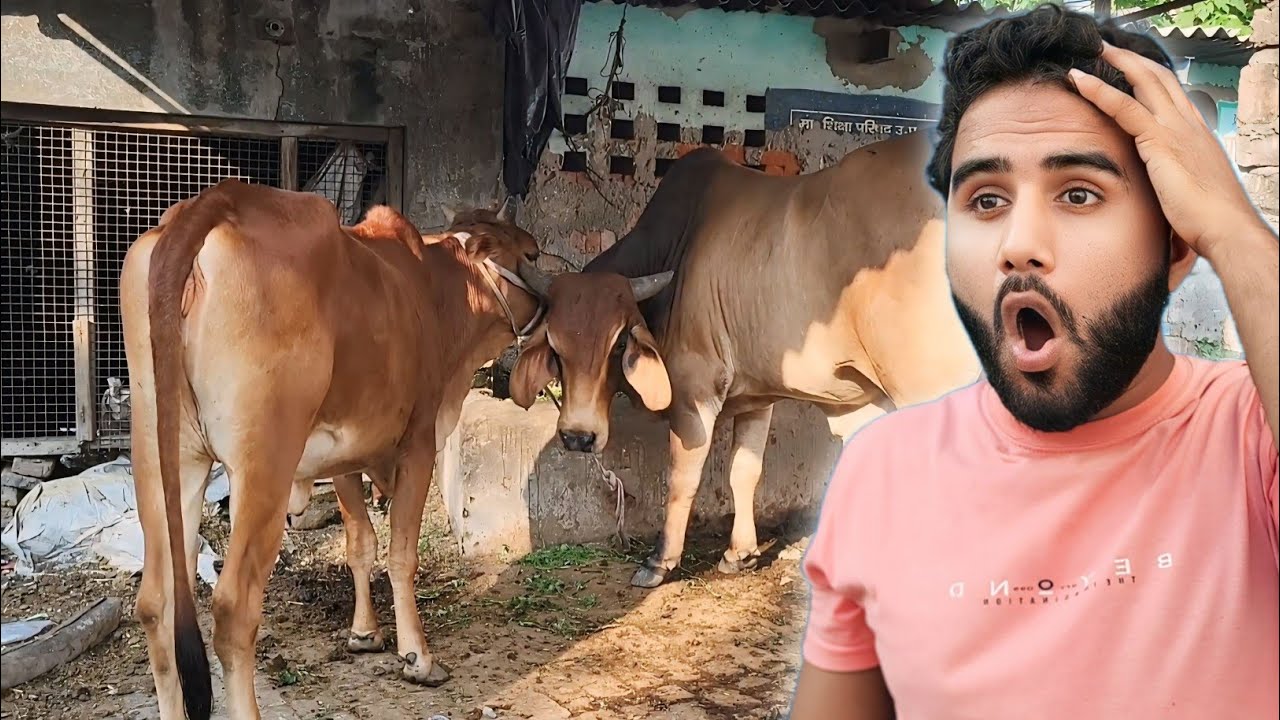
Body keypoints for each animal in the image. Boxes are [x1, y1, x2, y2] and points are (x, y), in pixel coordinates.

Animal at [120, 180, 544, 720]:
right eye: (531, 253)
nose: (549, 308)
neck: (435, 289)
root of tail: (215, 201)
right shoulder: (419, 440)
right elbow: (401, 553)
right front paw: (418, 657)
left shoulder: (344, 454)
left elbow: (360, 544)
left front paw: (364, 634)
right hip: (263, 465)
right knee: (234, 610)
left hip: (162, 458)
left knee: (158, 603)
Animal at [510, 133, 981, 588]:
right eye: (555, 347)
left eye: (617, 343)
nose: (577, 437)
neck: (676, 247)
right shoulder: (759, 398)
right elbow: (745, 471)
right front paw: (740, 553)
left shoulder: (695, 388)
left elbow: (682, 476)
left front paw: (660, 561)